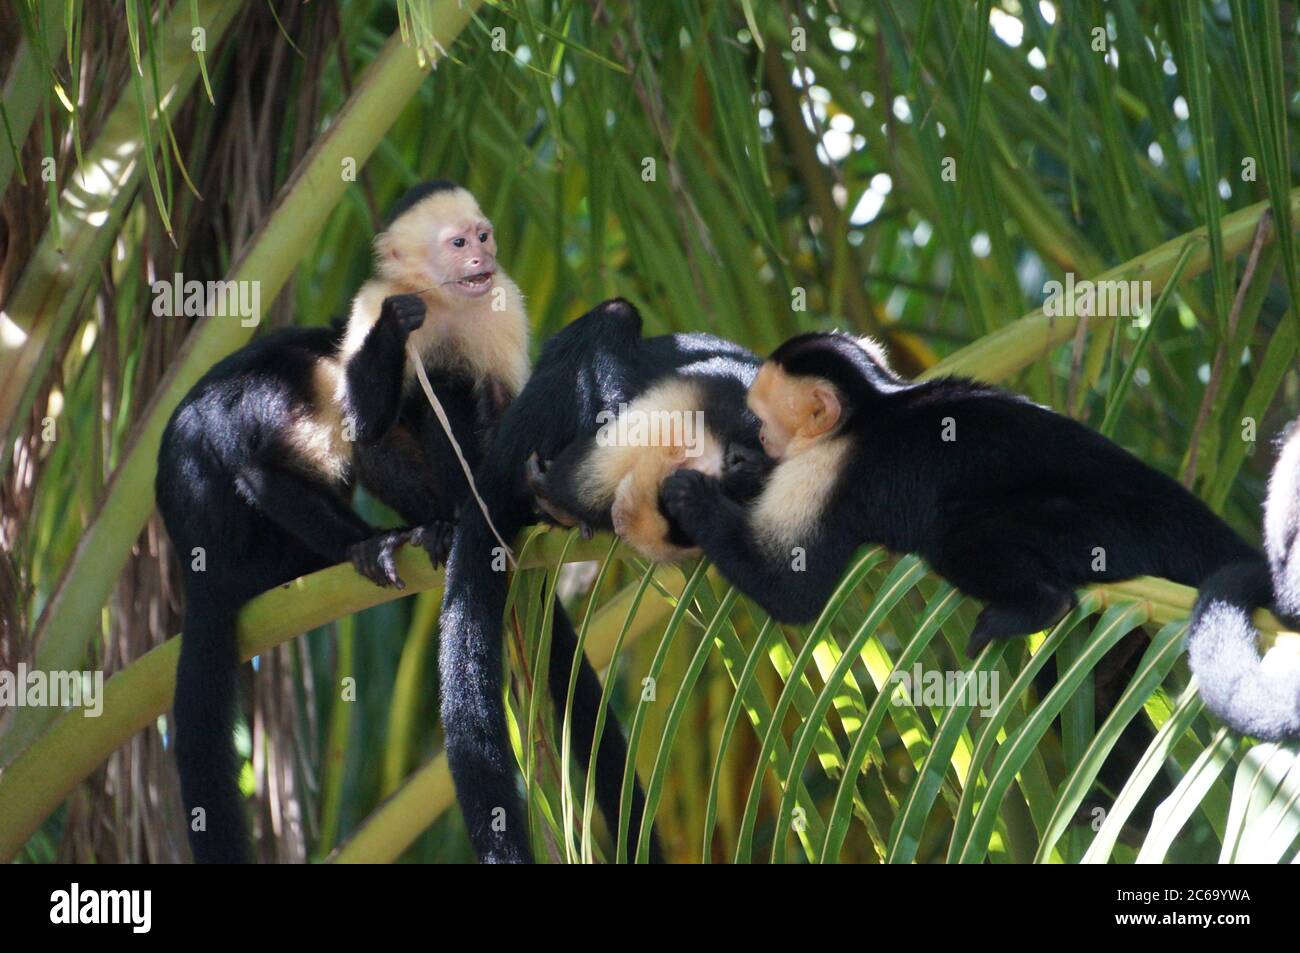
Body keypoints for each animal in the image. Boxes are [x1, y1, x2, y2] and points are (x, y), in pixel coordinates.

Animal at [336, 181, 530, 564]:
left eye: (483, 236)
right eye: (459, 244)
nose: (482, 258)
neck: (444, 300)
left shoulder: (504, 302)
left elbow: (503, 403)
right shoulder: (370, 301)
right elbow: (360, 421)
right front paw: (394, 322)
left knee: (446, 393)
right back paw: (430, 524)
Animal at [660, 331, 1262, 658]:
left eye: (763, 419)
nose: (762, 439)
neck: (869, 407)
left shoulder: (825, 468)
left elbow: (792, 591)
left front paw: (695, 498)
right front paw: (742, 471)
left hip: (1107, 525)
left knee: (957, 538)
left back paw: (1038, 604)